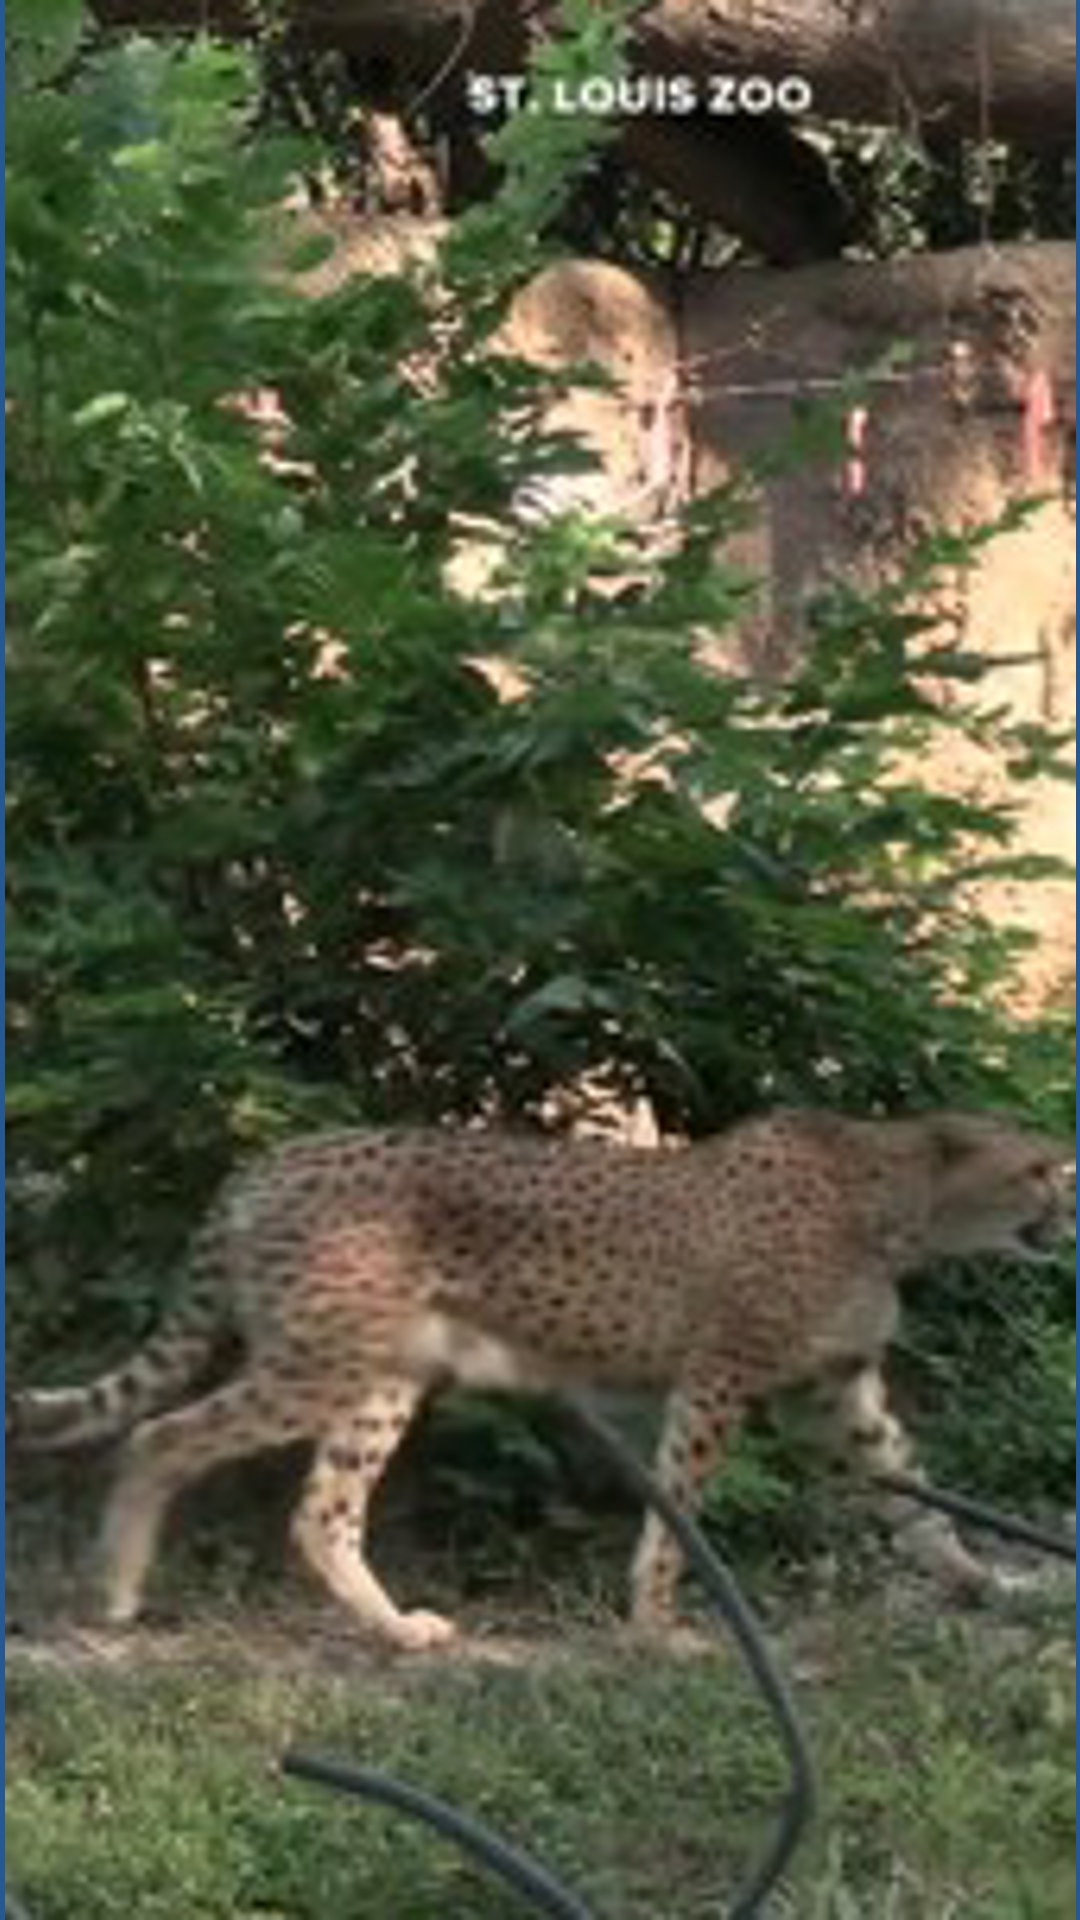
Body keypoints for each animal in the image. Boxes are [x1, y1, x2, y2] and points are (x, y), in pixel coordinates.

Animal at [10, 1107, 1073, 1653]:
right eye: (1039, 1169)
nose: (1071, 1206)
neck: (892, 1196)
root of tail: (270, 1155)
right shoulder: (717, 1375)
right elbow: (679, 1508)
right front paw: (657, 1625)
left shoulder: (835, 1390)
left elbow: (913, 1492)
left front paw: (983, 1578)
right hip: (319, 1364)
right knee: (159, 1437)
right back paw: (118, 1587)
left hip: (379, 1376)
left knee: (321, 1510)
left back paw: (395, 1629)